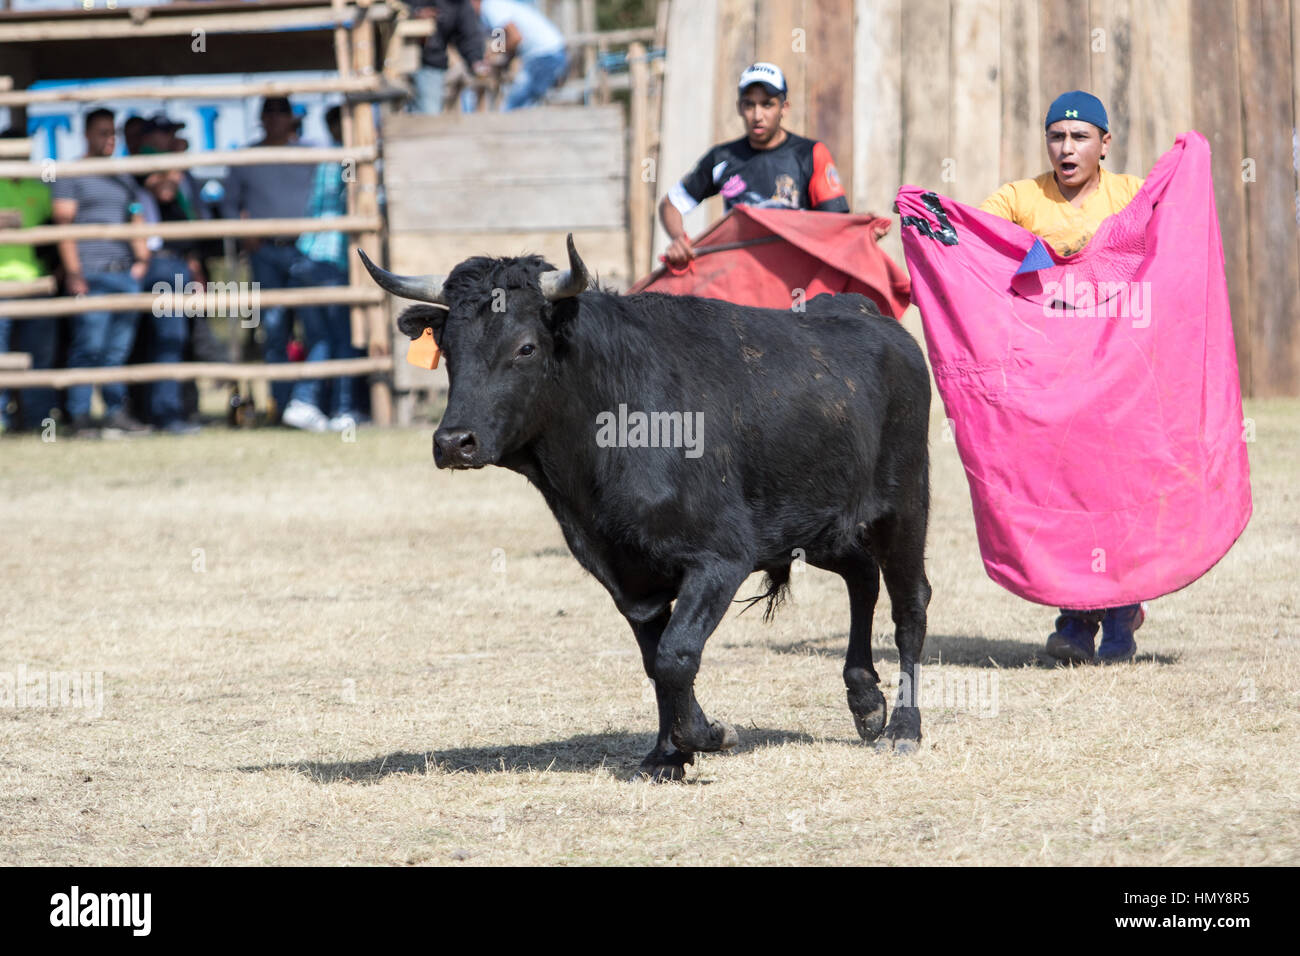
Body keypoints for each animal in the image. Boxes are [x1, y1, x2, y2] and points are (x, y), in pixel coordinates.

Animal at [360, 236, 932, 781]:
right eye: (449, 349)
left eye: (525, 347)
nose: (454, 442)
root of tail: (865, 312)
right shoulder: (628, 578)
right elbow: (655, 663)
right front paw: (666, 756)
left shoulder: (720, 560)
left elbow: (677, 654)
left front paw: (708, 735)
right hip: (817, 527)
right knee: (862, 575)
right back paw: (865, 702)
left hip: (904, 506)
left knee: (910, 606)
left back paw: (904, 728)